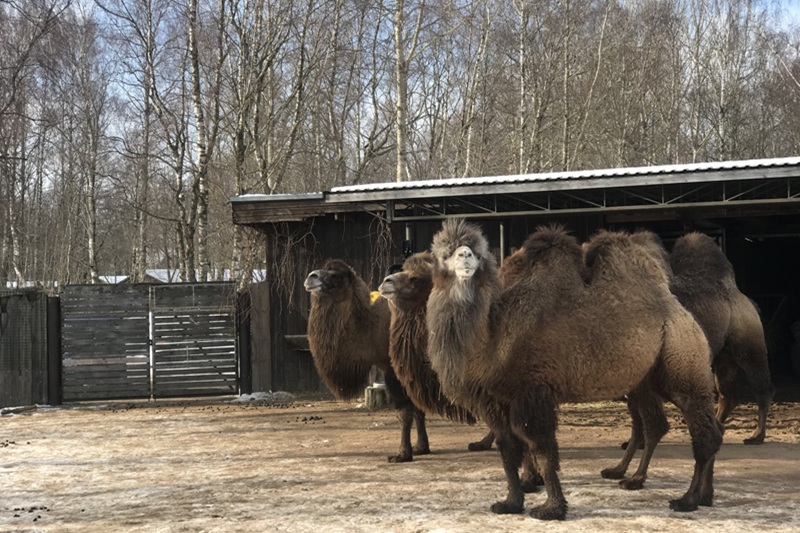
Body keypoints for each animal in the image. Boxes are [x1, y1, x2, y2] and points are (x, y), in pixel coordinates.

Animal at [304, 259, 430, 463]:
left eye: (335, 276)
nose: (311, 276)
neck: (371, 326)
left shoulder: (394, 369)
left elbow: (404, 412)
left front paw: (402, 454)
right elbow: (418, 408)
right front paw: (421, 447)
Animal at [425, 219, 722, 520]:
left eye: (476, 251)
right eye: (444, 253)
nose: (465, 255)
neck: (492, 333)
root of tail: (680, 310)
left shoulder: (533, 392)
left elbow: (543, 450)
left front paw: (551, 508)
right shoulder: (494, 401)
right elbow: (508, 451)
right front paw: (510, 503)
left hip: (682, 358)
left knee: (703, 431)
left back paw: (687, 499)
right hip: (648, 379)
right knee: (686, 427)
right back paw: (697, 494)